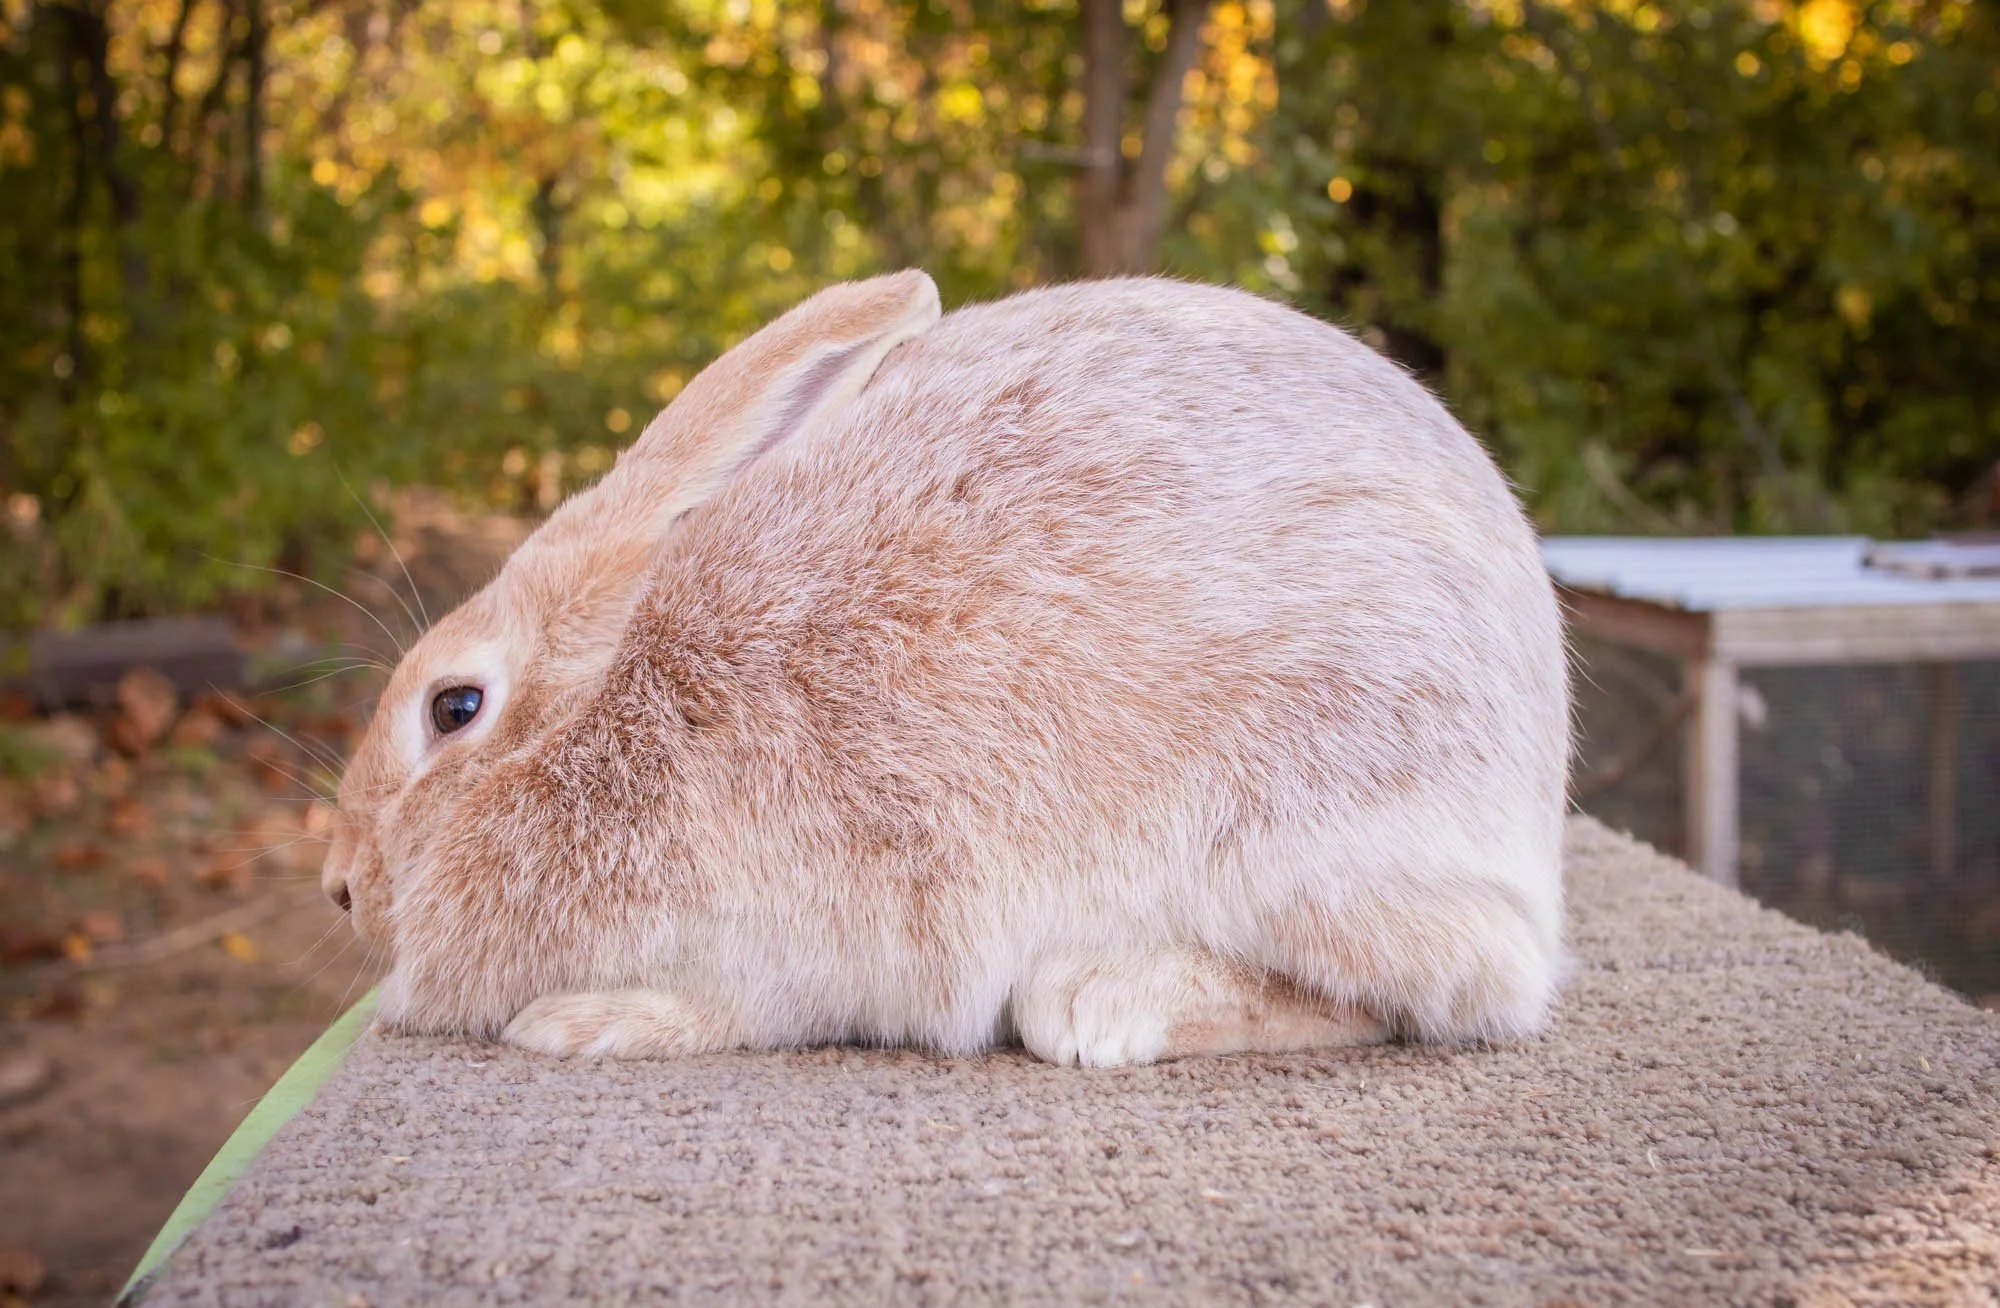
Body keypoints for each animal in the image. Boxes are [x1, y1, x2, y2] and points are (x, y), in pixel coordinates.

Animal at [321, 271, 1570, 1067]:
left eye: (455, 707)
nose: (339, 888)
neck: (613, 703)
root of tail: (1536, 777)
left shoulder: (791, 949)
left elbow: (729, 1012)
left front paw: (579, 1027)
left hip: (1306, 832)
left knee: (1468, 987)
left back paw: (1104, 1000)